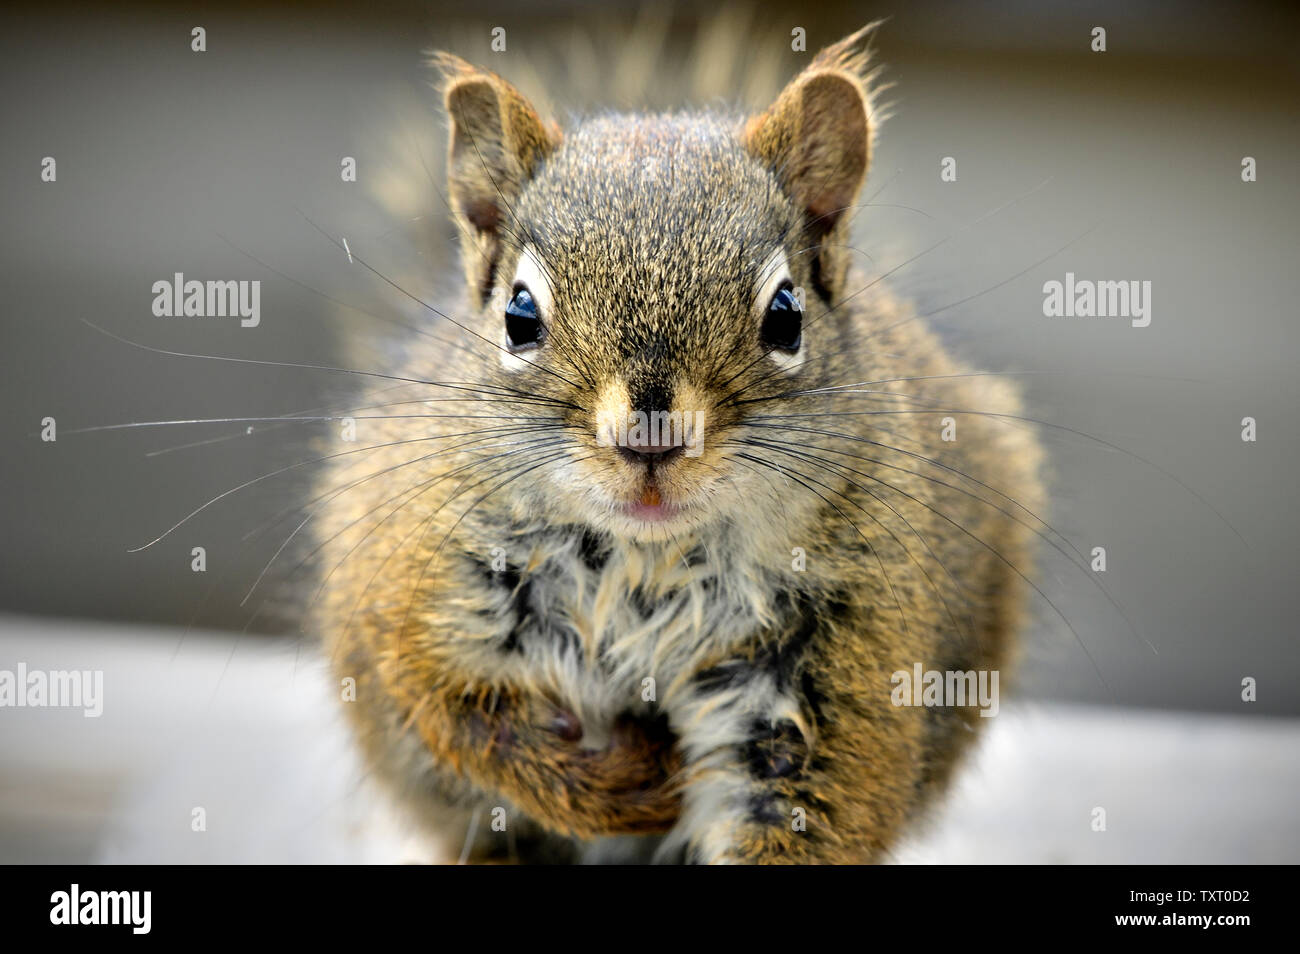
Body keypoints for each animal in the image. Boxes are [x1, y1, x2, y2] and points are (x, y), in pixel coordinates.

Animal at [310, 23, 1045, 864]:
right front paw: (628, 784)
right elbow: (465, 718)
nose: (651, 438)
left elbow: (806, 811)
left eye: (786, 316)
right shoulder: (421, 587)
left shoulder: (842, 671)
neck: (647, 561)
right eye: (519, 316)